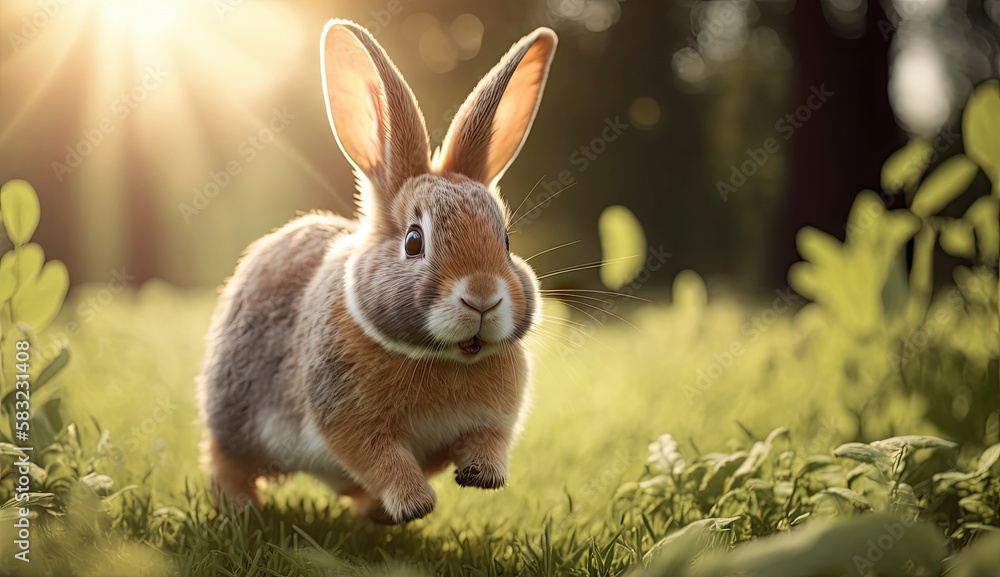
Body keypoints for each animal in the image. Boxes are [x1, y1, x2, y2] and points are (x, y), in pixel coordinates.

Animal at [196, 19, 557, 524]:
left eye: (505, 241)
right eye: (413, 241)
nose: (483, 297)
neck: (440, 356)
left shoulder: (492, 421)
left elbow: (489, 442)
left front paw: (481, 476)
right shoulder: (348, 419)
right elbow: (382, 459)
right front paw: (416, 503)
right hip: (233, 415)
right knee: (224, 461)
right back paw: (244, 510)